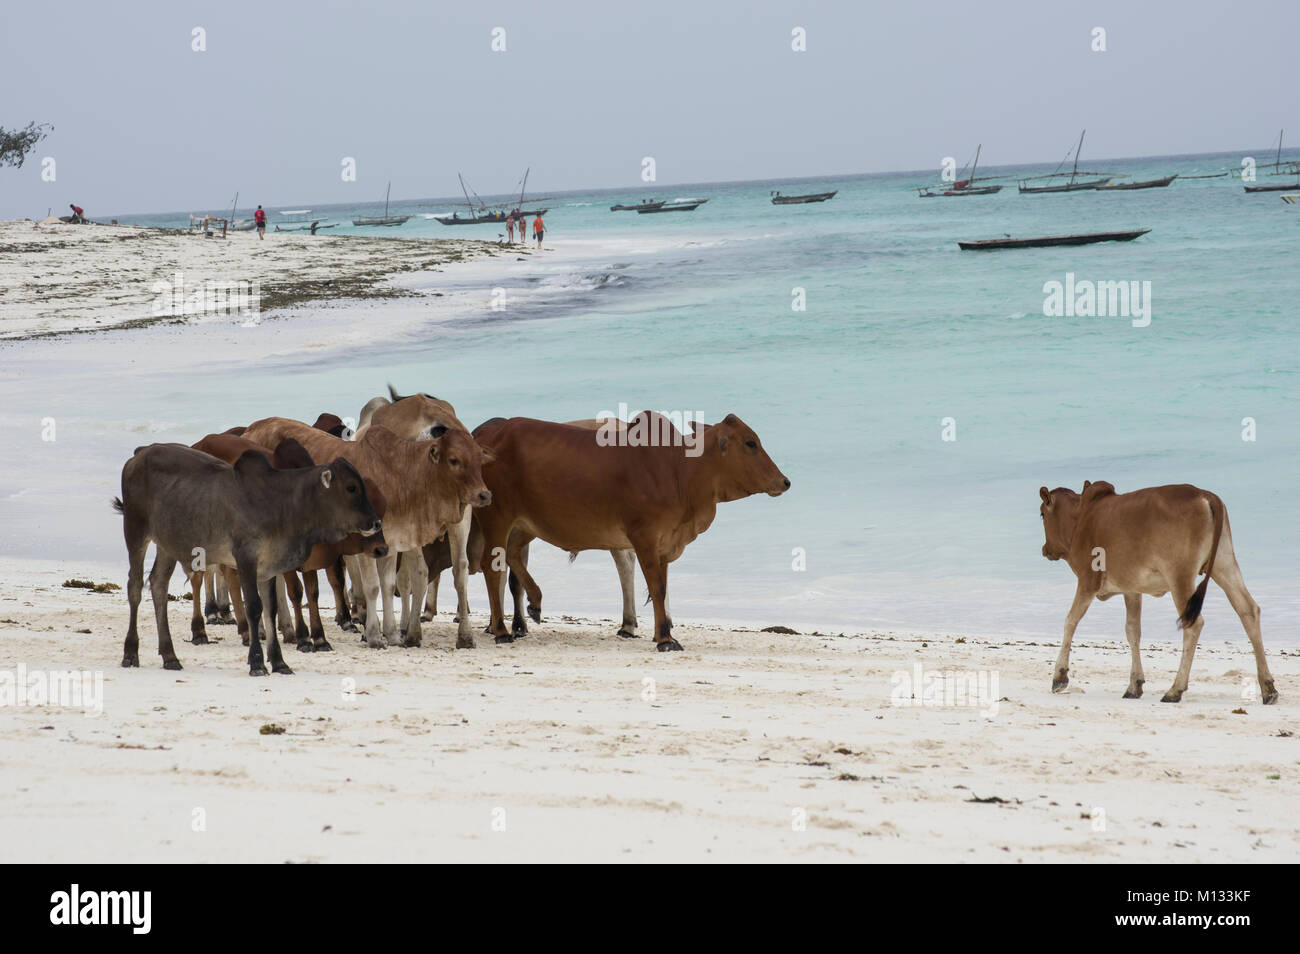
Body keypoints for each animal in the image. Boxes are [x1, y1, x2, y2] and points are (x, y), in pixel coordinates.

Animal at [113, 443, 380, 675]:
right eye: (351, 487)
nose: (376, 522)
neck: (284, 504)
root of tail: (139, 454)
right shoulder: (246, 560)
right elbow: (254, 607)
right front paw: (257, 663)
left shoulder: (268, 567)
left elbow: (271, 610)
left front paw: (279, 662)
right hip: (135, 531)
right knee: (134, 587)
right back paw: (130, 653)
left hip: (167, 545)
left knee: (158, 585)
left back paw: (170, 656)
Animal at [240, 417, 493, 648]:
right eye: (454, 460)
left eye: (478, 459)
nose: (484, 494)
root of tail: (251, 429)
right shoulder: (367, 543)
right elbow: (372, 587)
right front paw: (374, 635)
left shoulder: (391, 540)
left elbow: (389, 584)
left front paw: (392, 634)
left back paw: (287, 629)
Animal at [473, 412, 789, 651]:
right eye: (750, 443)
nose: (785, 481)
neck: (681, 471)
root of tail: (486, 436)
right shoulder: (645, 538)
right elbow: (657, 588)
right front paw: (665, 639)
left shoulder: (664, 544)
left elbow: (662, 587)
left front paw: (662, 632)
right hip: (497, 517)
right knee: (493, 567)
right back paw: (501, 630)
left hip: (526, 524)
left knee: (513, 557)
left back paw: (535, 603)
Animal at [1039, 481, 1277, 704]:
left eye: (1042, 513)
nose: (1045, 549)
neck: (1081, 518)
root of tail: (1205, 494)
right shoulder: (1131, 589)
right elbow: (1133, 631)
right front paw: (1134, 685)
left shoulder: (1088, 581)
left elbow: (1071, 621)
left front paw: (1059, 676)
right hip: (1224, 564)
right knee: (1248, 610)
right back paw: (1268, 688)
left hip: (1180, 576)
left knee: (1194, 624)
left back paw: (1175, 690)